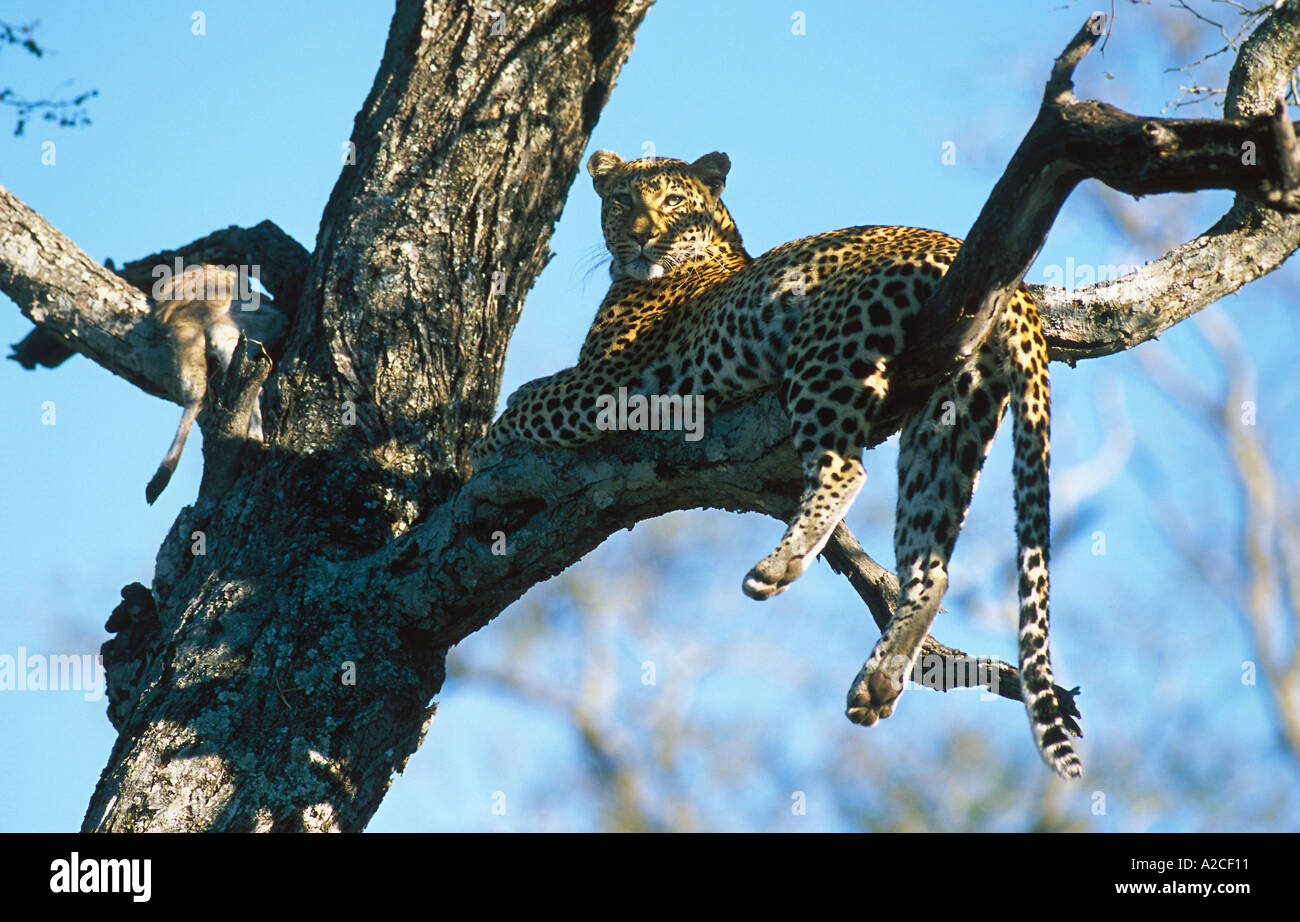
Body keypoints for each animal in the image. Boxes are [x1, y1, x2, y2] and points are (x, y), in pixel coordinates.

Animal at [471, 150, 1083, 778]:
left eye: (673, 201)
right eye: (621, 200)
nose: (642, 237)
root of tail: (1002, 278)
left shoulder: (602, 388)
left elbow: (519, 404)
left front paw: (472, 459)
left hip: (826, 350)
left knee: (846, 468)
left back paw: (778, 567)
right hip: (952, 416)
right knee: (930, 562)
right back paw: (878, 679)